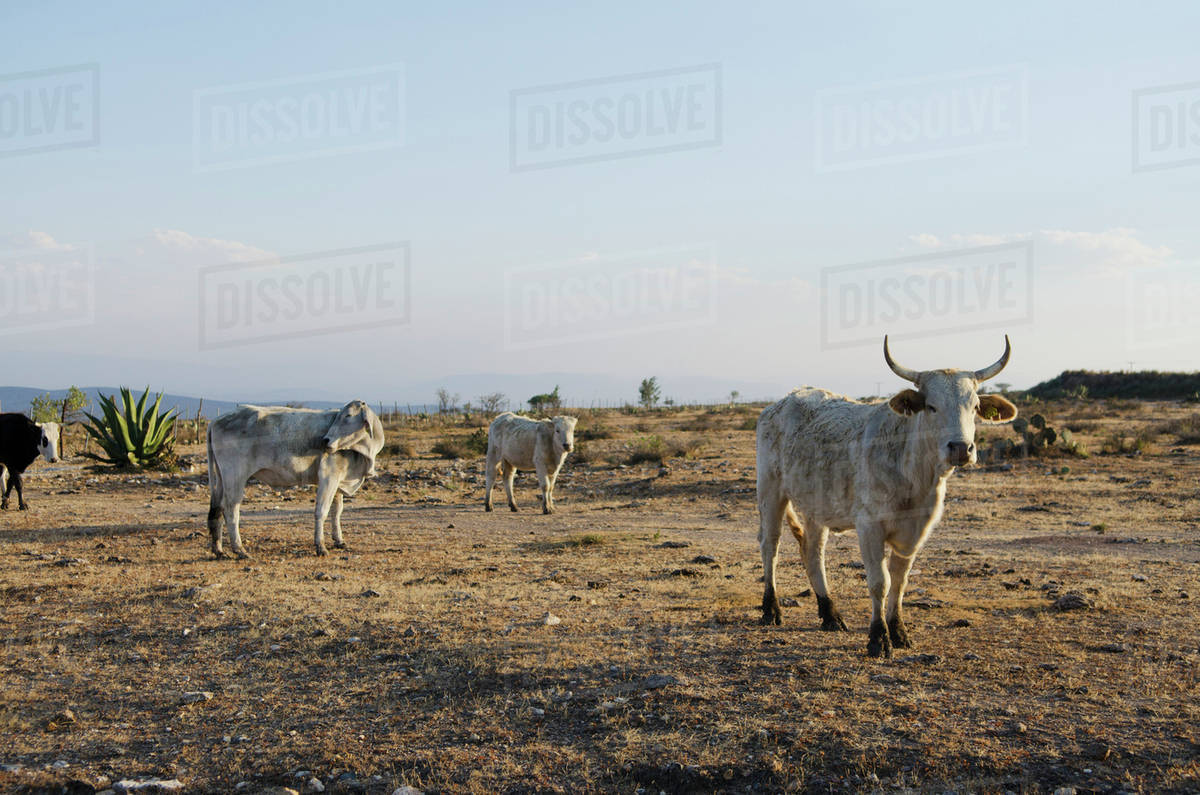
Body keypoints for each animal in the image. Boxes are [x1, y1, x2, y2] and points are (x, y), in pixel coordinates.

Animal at [206, 400, 385, 558]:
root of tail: (215, 420)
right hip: (235, 476)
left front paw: (339, 540)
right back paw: (239, 550)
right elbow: (322, 511)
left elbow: (337, 511)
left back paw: (219, 550)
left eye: (348, 415)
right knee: (230, 510)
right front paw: (321, 546)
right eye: (340, 415)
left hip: (221, 478)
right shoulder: (329, 477)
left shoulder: (339, 480)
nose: (325, 440)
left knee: (217, 509)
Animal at [756, 336, 1017, 658]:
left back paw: (830, 613)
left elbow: (900, 581)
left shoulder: (916, 530)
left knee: (812, 552)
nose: (960, 448)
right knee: (771, 546)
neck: (914, 473)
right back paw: (771, 609)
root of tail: (782, 402)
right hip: (771, 490)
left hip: (817, 505)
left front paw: (898, 630)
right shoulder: (869, 526)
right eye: (931, 407)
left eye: (976, 406)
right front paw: (878, 638)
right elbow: (880, 581)